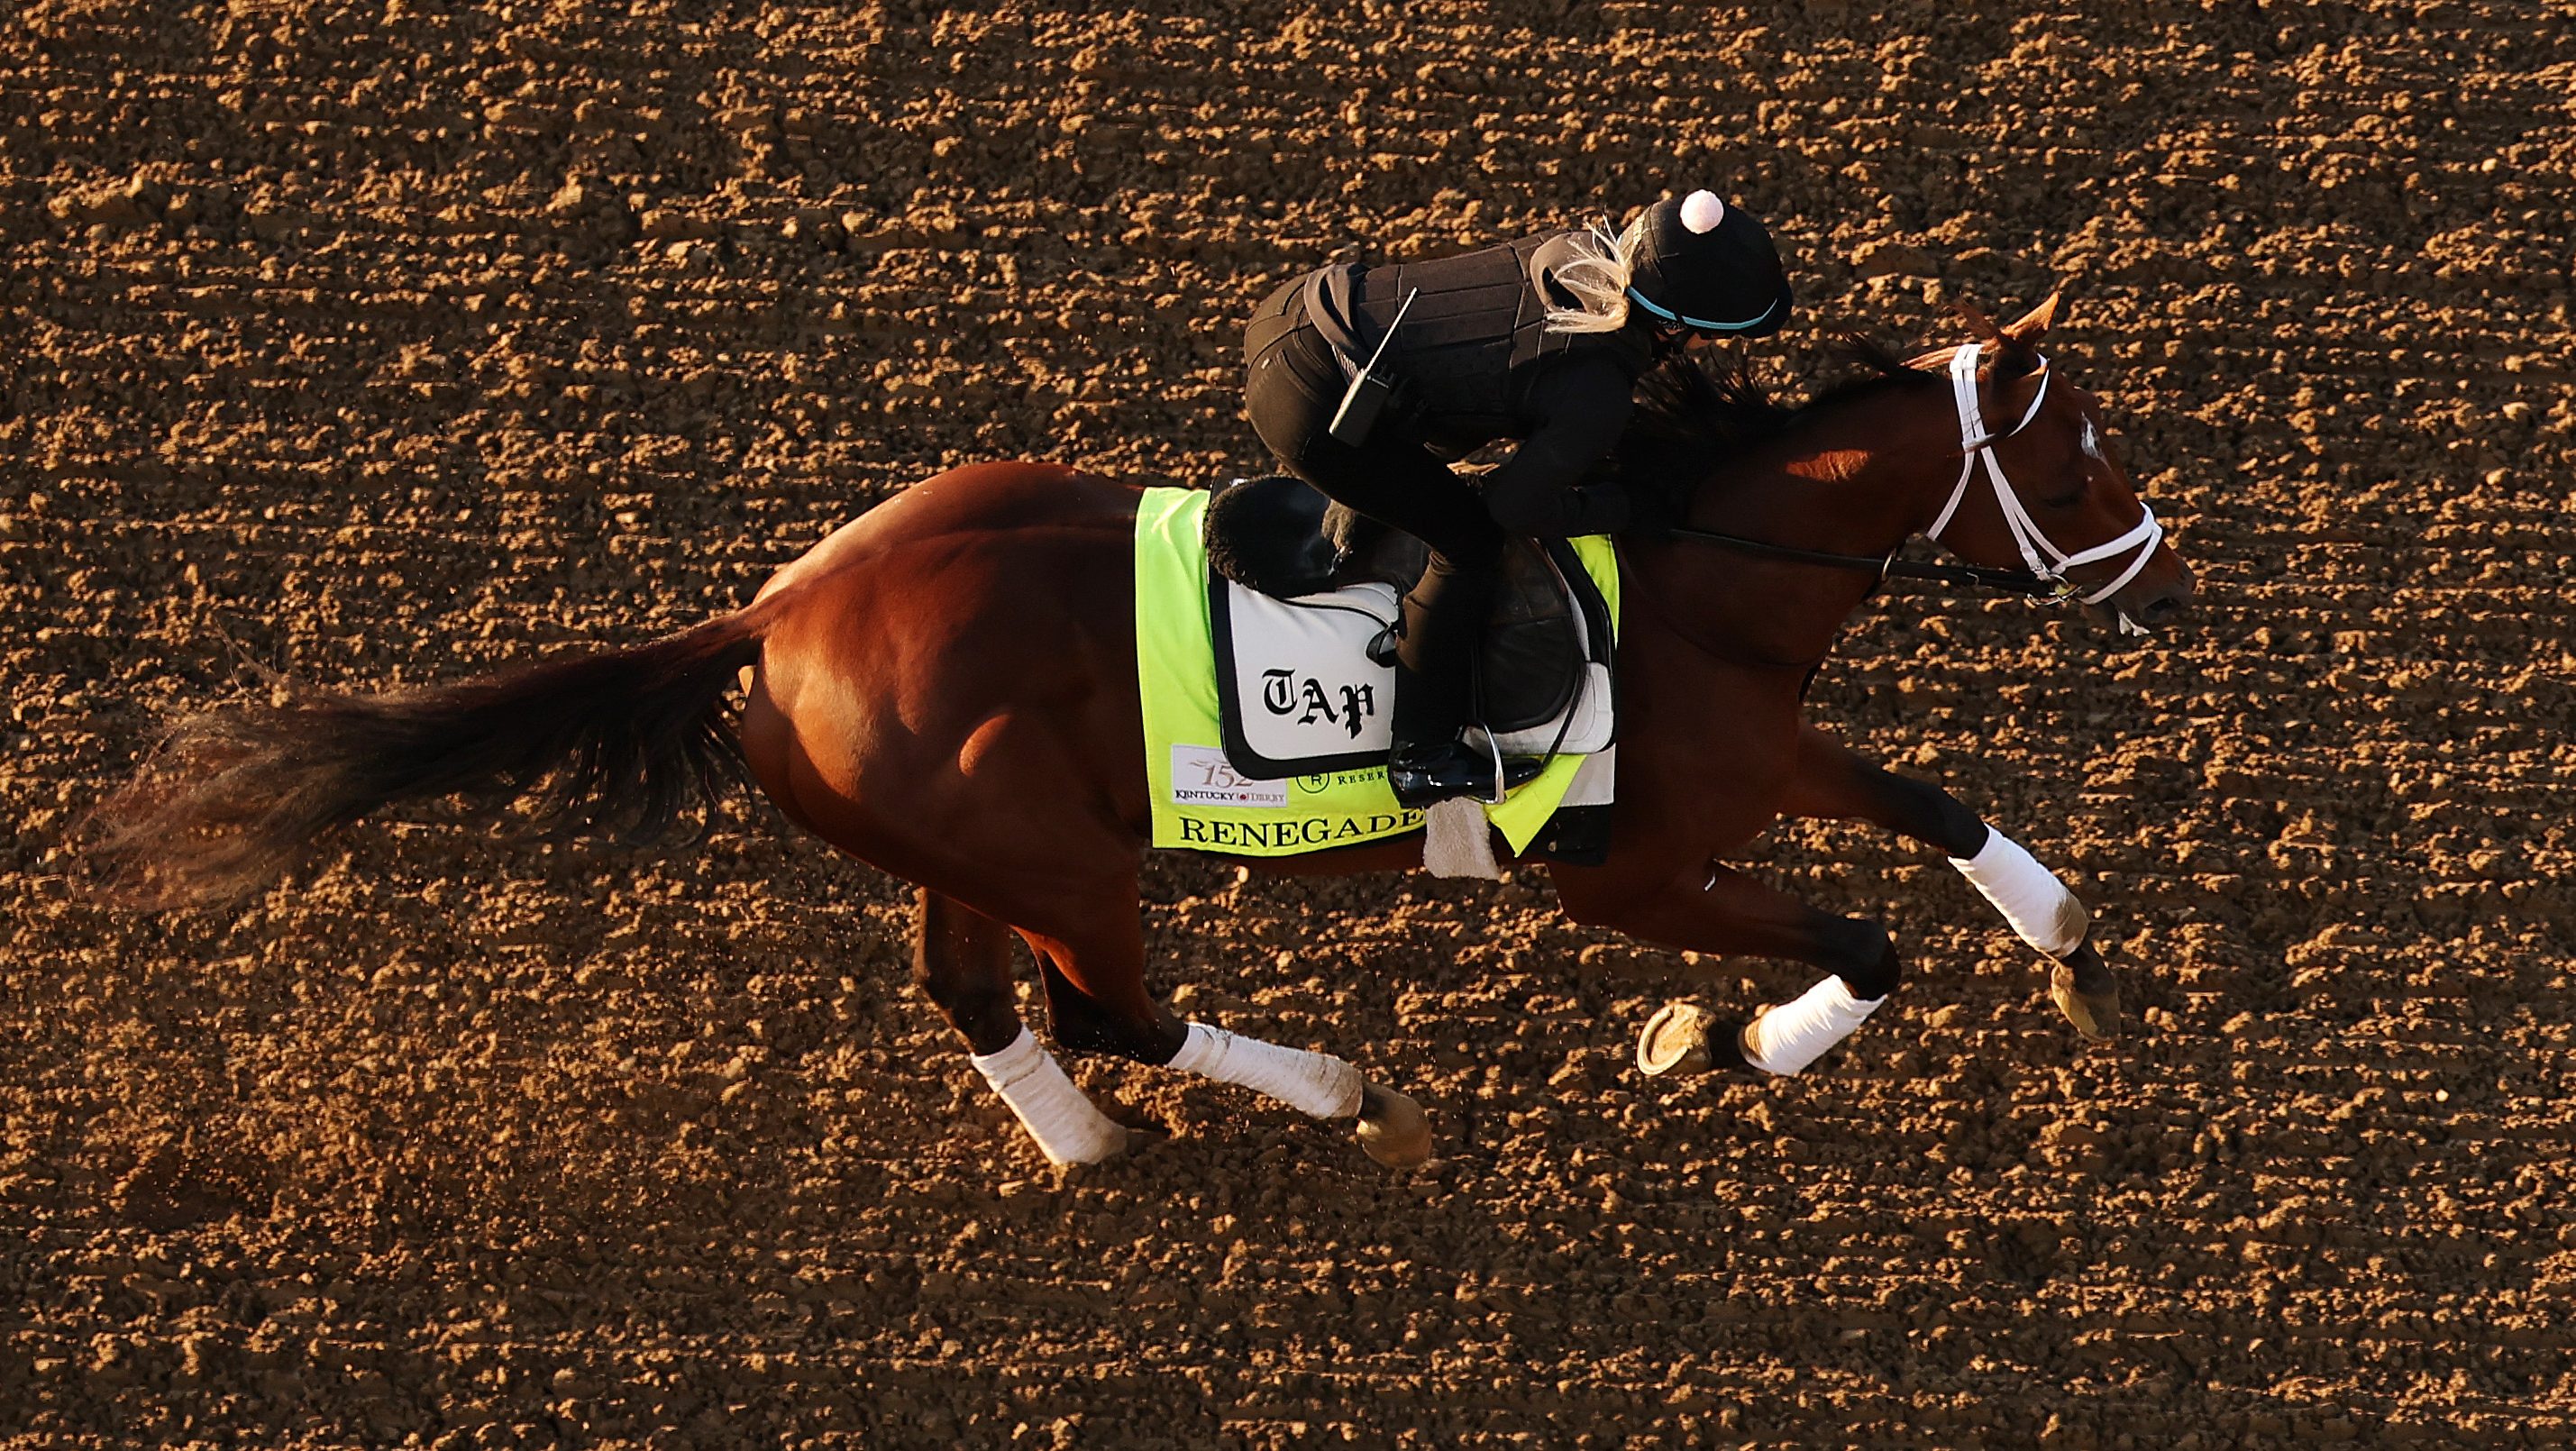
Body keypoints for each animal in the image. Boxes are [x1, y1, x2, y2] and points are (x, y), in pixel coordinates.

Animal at [96, 294, 2194, 1172]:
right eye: (2075, 456)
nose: (2165, 580)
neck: (1692, 576)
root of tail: (775, 614)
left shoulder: (1755, 760)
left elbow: (1938, 810)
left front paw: (2075, 949)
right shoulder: (1626, 868)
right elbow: (1863, 938)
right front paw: (1732, 1040)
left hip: (964, 842)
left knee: (978, 998)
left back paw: (1088, 1149)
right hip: (1062, 855)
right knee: (1107, 1001)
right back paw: (1347, 1095)